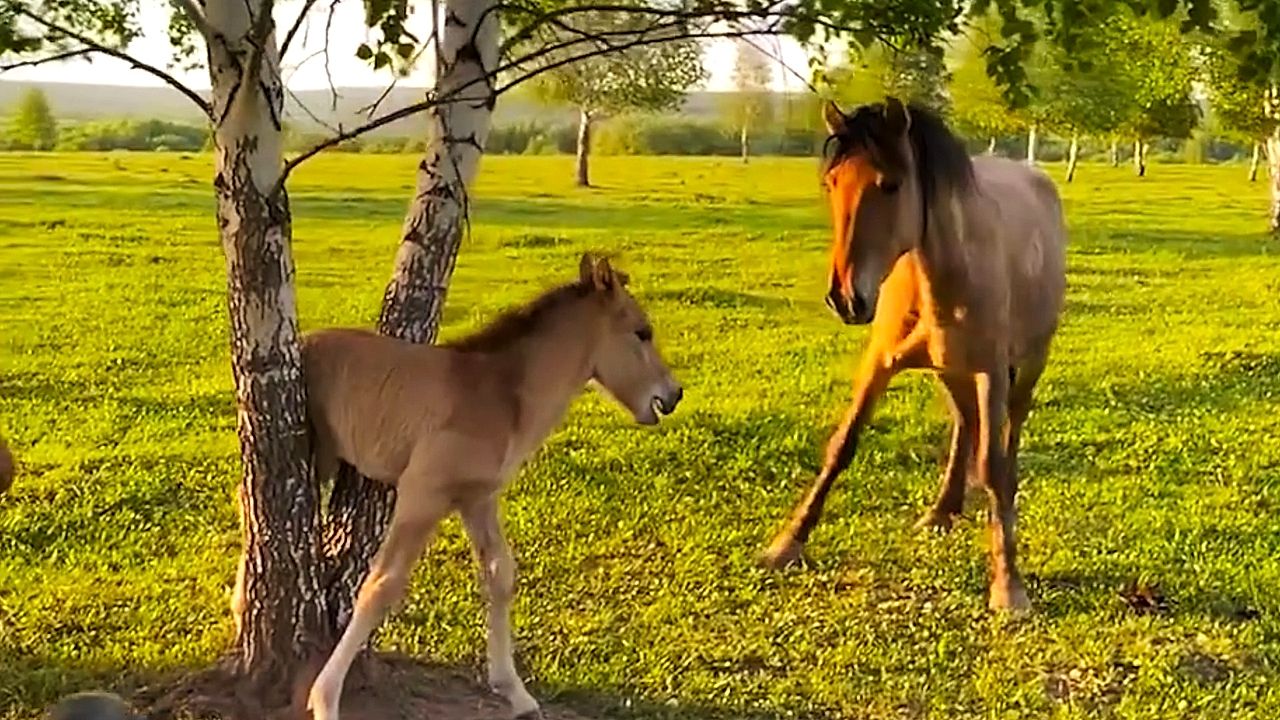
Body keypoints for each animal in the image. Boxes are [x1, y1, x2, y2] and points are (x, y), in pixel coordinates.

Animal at [304, 254, 684, 720]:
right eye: (642, 332)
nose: (673, 394)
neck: (501, 397)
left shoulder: (478, 498)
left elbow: (500, 574)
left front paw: (514, 691)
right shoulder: (421, 494)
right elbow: (380, 587)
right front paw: (324, 699)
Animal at [760, 98, 1067, 612]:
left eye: (890, 184)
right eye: (830, 183)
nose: (845, 298)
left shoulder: (992, 372)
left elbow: (993, 466)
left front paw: (1008, 584)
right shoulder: (881, 362)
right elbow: (842, 446)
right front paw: (786, 544)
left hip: (1029, 361)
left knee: (1011, 428)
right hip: (951, 369)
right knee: (966, 423)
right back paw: (943, 511)